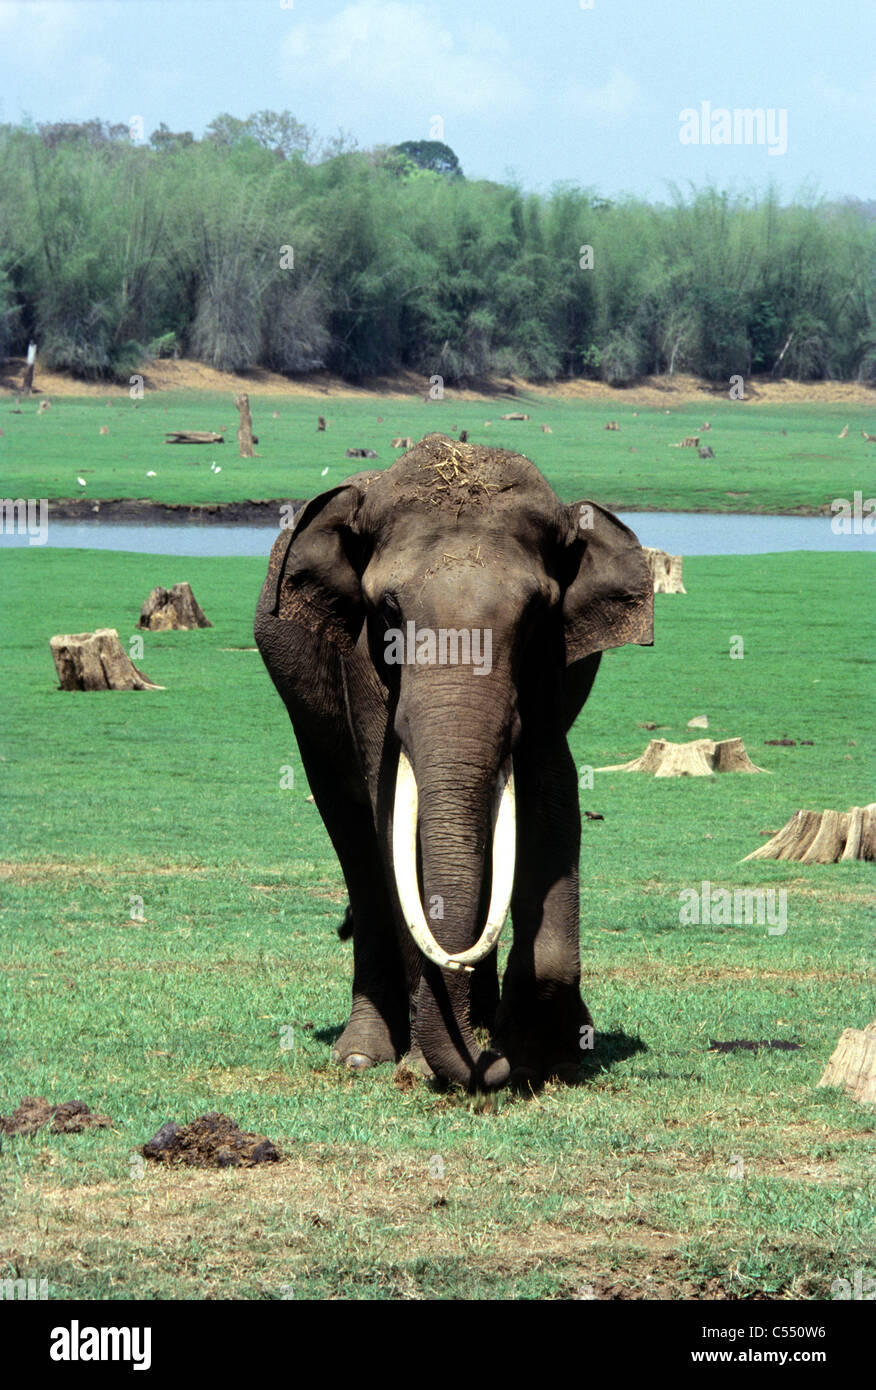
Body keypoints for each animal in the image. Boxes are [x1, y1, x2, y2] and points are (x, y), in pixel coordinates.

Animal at [254, 434, 653, 1091]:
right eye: (388, 609)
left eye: (535, 613)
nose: (492, 1070)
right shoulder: (363, 663)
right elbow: (391, 813)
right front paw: (438, 1061)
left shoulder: (549, 666)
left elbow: (552, 791)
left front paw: (546, 1056)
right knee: (356, 844)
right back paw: (367, 1052)